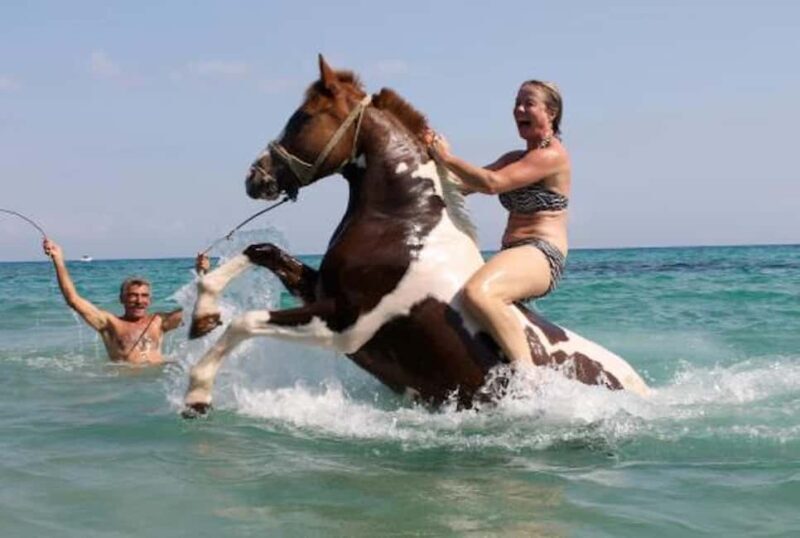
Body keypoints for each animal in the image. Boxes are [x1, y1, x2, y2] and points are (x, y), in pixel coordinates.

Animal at [182, 55, 649, 417]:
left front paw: (197, 394)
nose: (254, 177)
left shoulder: (344, 324)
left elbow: (244, 321)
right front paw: (203, 314)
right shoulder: (320, 290)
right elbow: (260, 250)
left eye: (303, 117)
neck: (405, 224)